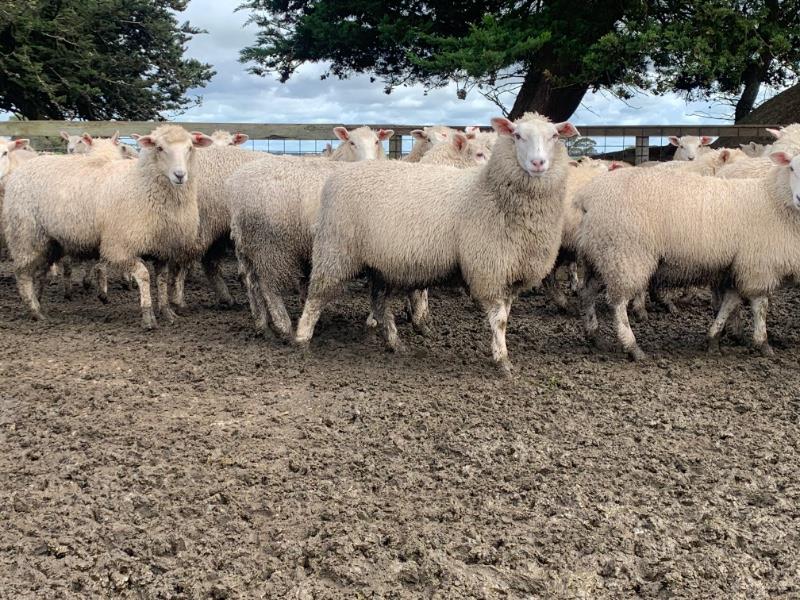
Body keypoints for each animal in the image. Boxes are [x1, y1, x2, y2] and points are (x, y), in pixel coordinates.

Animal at [3, 125, 214, 328]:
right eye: (160, 148)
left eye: (190, 148)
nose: (180, 175)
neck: (141, 182)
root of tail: (21, 170)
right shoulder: (120, 246)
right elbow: (143, 275)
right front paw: (148, 316)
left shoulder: (163, 249)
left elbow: (161, 281)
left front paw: (167, 312)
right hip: (26, 235)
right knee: (22, 273)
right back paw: (35, 310)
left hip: (51, 241)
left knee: (40, 272)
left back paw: (38, 302)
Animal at [228, 126, 394, 340]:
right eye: (351, 142)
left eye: (377, 142)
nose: (369, 163)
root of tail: (236, 186)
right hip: (270, 242)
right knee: (268, 285)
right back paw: (283, 326)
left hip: (247, 243)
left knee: (252, 283)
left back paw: (261, 323)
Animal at [293, 112, 578, 372]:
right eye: (517, 135)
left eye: (554, 136)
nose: (538, 163)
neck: (487, 191)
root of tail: (338, 176)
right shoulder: (489, 269)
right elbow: (498, 320)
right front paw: (503, 362)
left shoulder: (509, 271)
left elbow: (504, 318)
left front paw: (501, 354)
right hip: (335, 250)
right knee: (317, 296)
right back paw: (302, 341)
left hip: (382, 264)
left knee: (379, 303)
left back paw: (395, 343)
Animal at [575, 147, 800, 361]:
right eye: (791, 168)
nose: (799, 198)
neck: (773, 200)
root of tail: (588, 197)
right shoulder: (760, 267)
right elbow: (760, 306)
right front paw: (763, 344)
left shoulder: (739, 268)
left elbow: (730, 303)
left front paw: (714, 339)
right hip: (624, 256)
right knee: (618, 304)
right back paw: (632, 347)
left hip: (600, 256)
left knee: (588, 293)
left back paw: (594, 335)